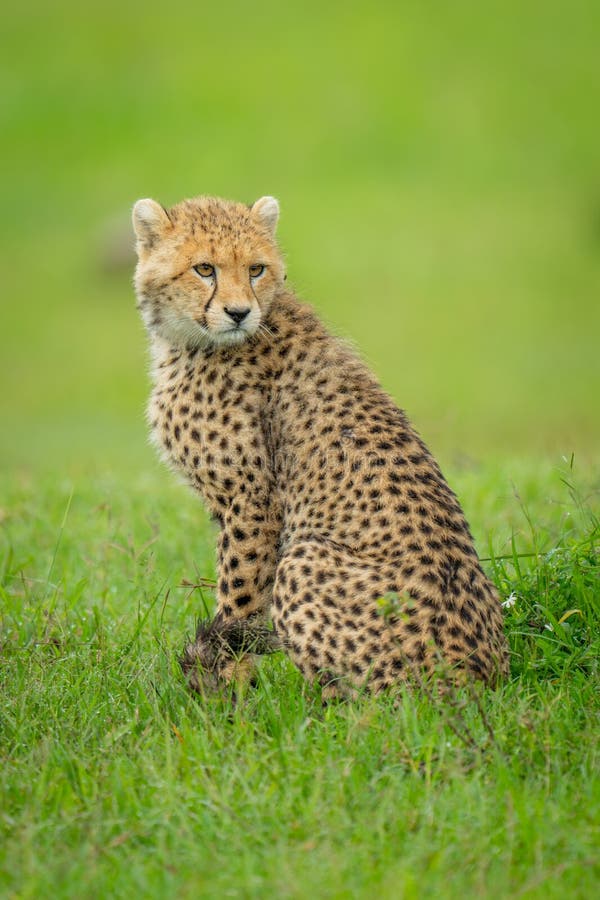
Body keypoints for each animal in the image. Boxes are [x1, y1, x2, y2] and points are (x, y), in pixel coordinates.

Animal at [132, 193, 509, 699]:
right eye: (204, 268)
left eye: (256, 269)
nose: (239, 312)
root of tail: (485, 677)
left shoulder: (252, 498)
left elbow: (240, 595)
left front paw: (229, 688)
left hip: (304, 559)